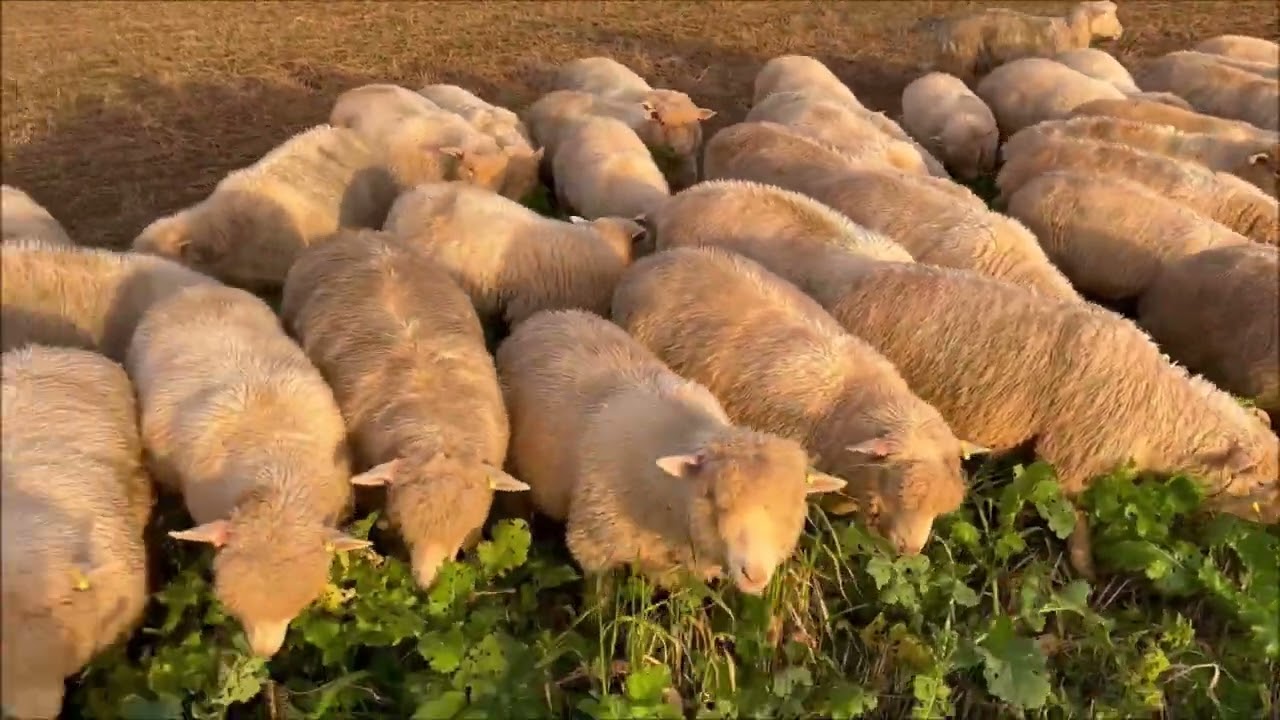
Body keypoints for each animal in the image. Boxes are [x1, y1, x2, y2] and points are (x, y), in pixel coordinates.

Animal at [495, 308, 846, 593]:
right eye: (715, 500)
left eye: (794, 508)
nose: (754, 575)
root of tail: (550, 315)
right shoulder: (594, 546)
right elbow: (600, 601)